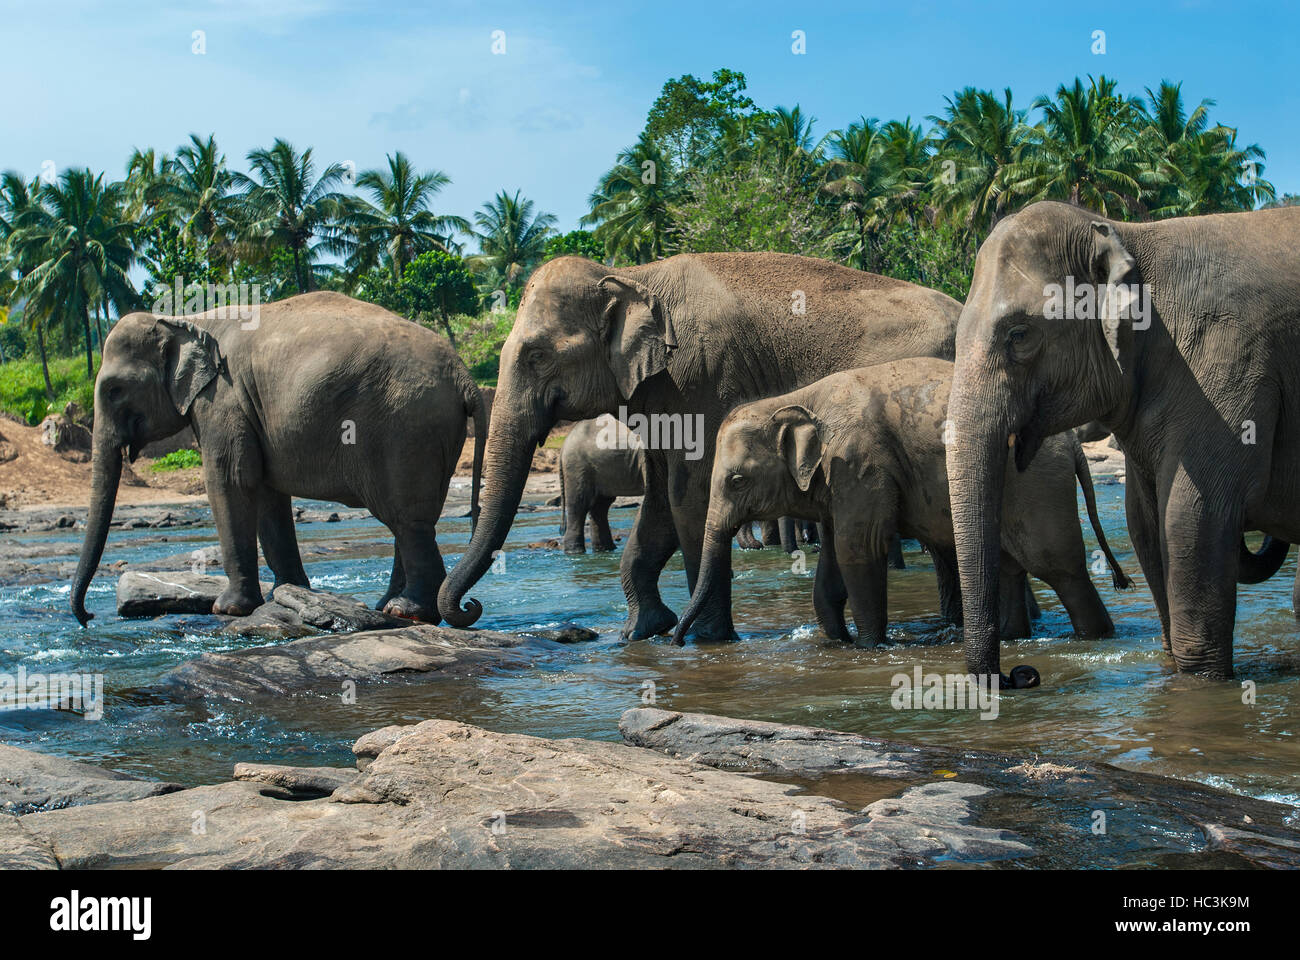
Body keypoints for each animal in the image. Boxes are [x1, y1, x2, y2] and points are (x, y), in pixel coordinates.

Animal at [70, 291, 485, 625]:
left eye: (114, 390)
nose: (89, 616)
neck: (187, 320)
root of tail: (464, 376)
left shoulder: (223, 399)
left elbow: (230, 481)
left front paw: (228, 609)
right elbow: (267, 493)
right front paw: (284, 594)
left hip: (405, 426)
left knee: (408, 520)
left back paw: (408, 612)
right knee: (410, 519)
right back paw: (386, 606)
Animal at [559, 414, 644, 553]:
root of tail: (564, 444)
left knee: (600, 506)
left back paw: (605, 550)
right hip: (577, 466)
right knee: (579, 505)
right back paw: (576, 552)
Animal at [671, 357, 1129, 657]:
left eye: (736, 480)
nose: (675, 640)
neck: (796, 398)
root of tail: (1073, 443)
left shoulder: (860, 464)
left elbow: (859, 550)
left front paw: (869, 646)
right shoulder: (838, 482)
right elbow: (833, 559)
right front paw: (836, 641)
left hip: (1036, 482)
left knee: (1057, 566)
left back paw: (1094, 637)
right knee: (1007, 563)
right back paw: (1014, 638)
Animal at [946, 200, 1300, 684]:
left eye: (1019, 335)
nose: (1021, 674)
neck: (1126, 233)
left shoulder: (1230, 363)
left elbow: (1192, 518)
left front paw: (1201, 683)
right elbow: (1144, 523)